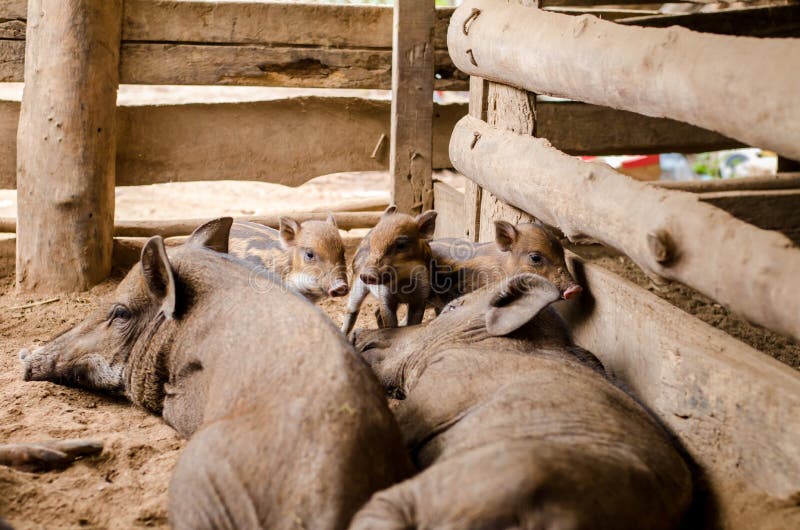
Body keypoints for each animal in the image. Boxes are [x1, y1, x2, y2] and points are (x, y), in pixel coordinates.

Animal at [341, 205, 437, 335]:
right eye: (372, 243)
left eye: (401, 245)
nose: (367, 274)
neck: (403, 283)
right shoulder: (385, 296)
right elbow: (390, 321)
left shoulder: (421, 296)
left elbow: (414, 323)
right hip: (356, 282)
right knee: (351, 311)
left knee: (376, 313)